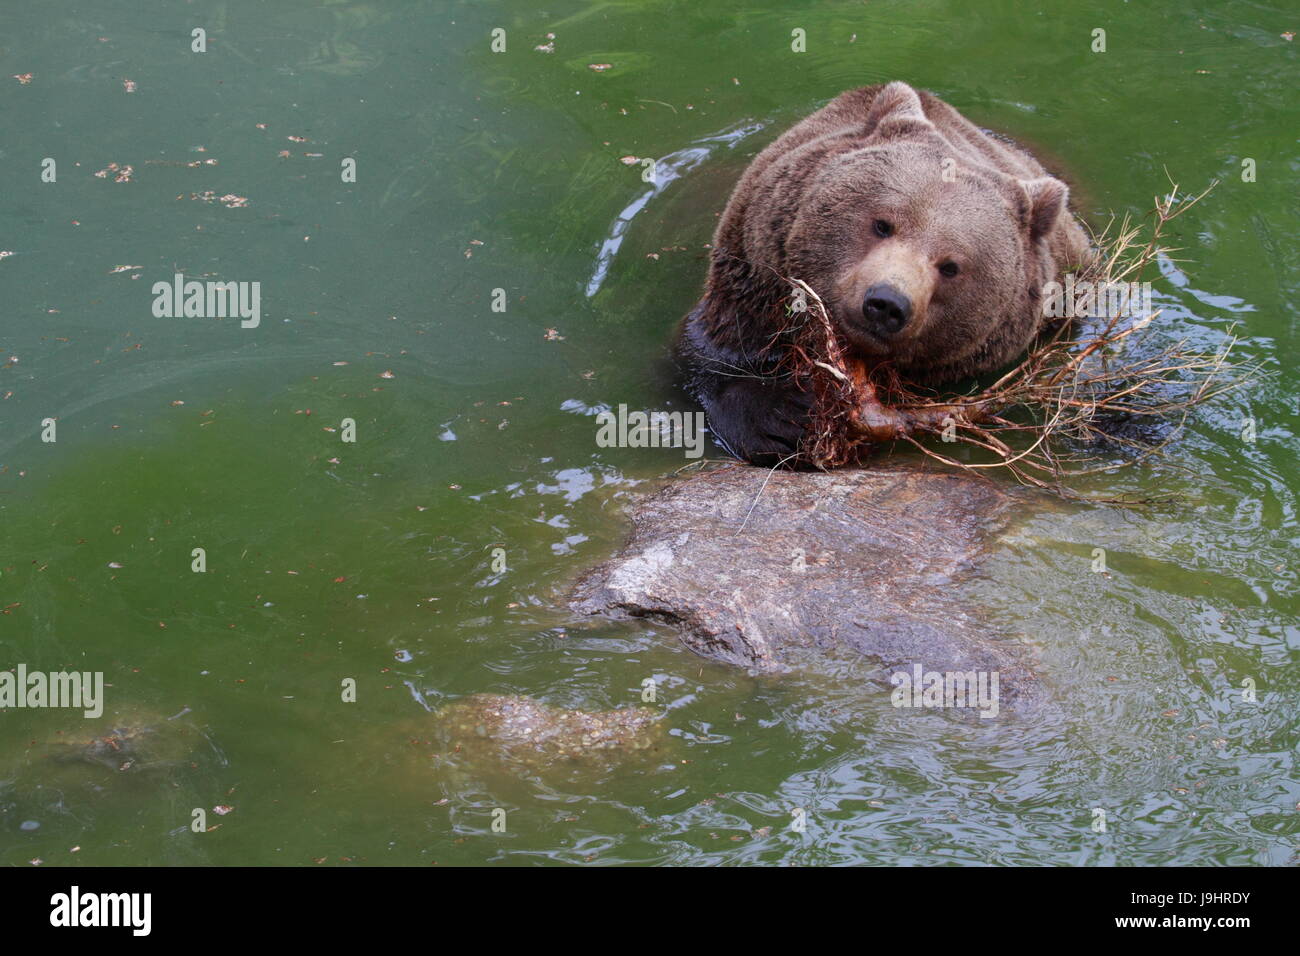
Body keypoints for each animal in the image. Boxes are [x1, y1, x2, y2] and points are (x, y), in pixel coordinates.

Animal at [676, 81, 1092, 465]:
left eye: (950, 266)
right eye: (882, 224)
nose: (887, 303)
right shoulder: (749, 281)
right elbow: (712, 350)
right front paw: (783, 420)